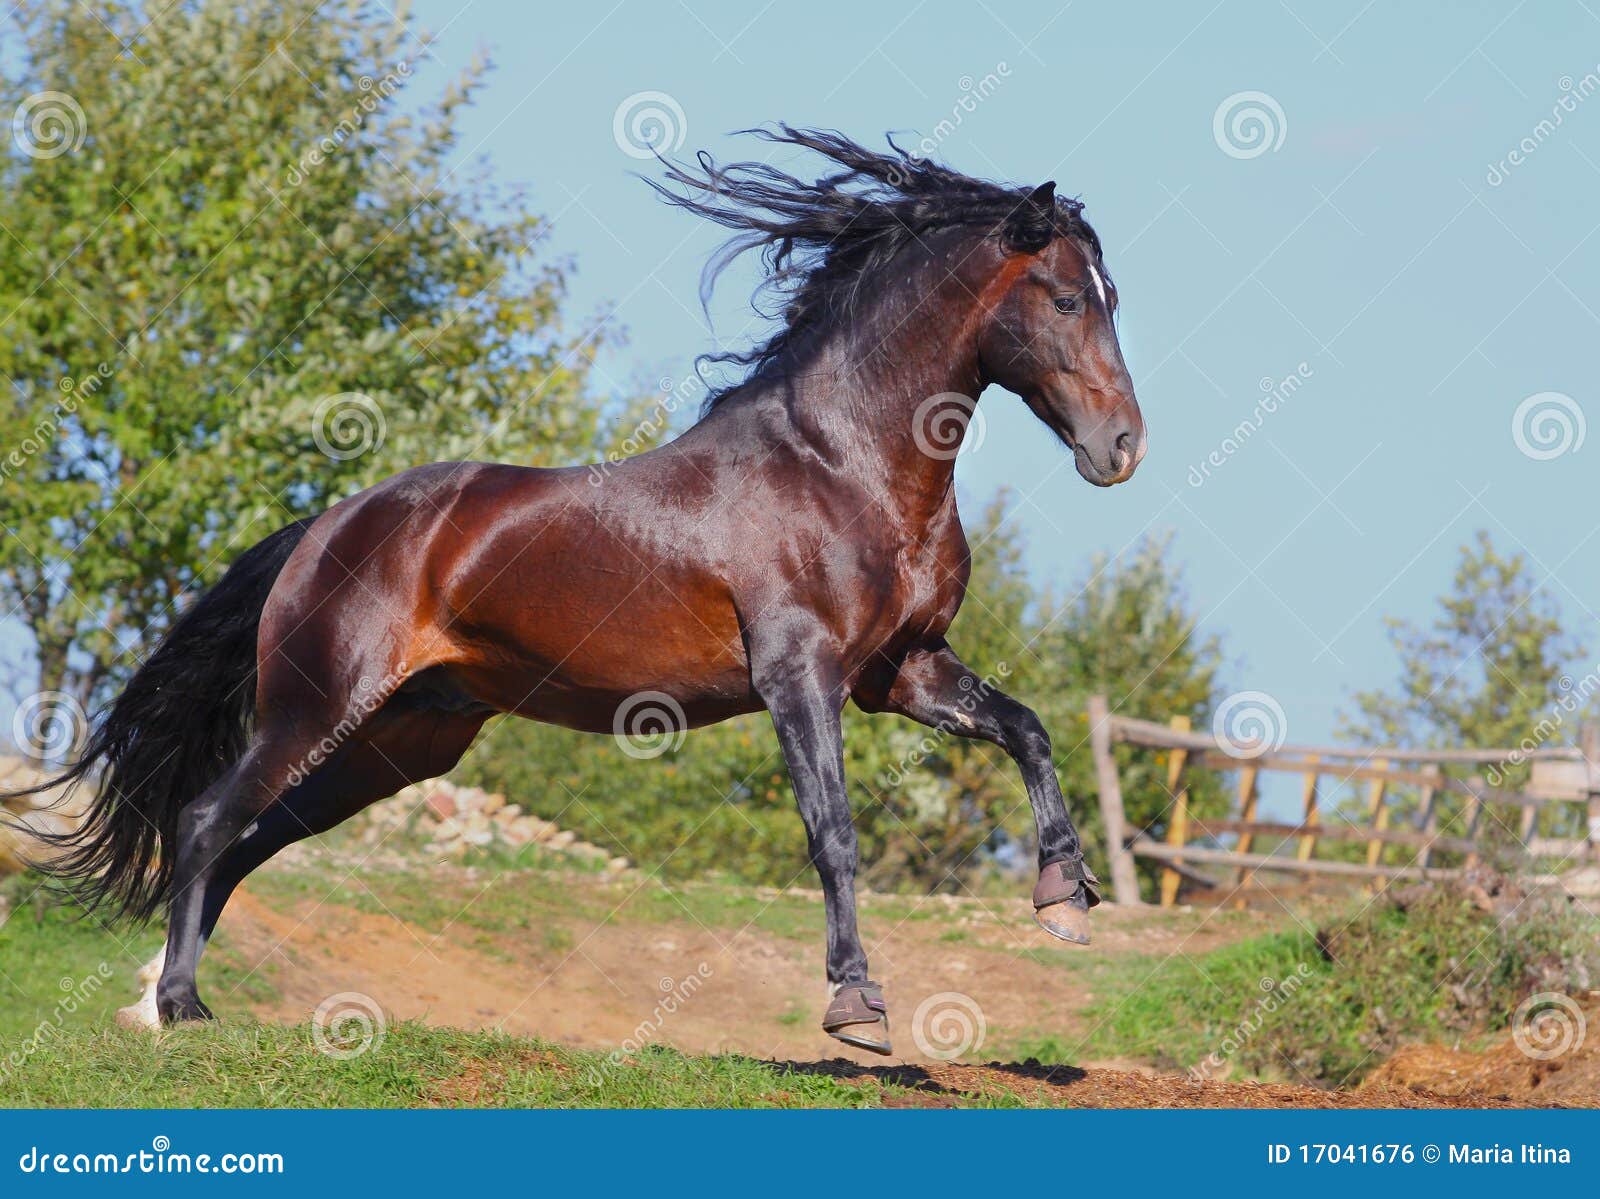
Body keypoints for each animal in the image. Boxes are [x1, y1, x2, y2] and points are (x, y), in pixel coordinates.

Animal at [20, 126, 1145, 1055]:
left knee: (249, 841)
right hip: (317, 709)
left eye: (1111, 297)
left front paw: (1063, 897)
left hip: (399, 743)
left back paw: (158, 994)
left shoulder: (902, 670)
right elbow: (833, 834)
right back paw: (177, 1004)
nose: (1122, 447)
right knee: (208, 820)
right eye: (1065, 297)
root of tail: (326, 527)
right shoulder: (801, 675)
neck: (842, 463)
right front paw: (856, 1006)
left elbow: (1028, 727)